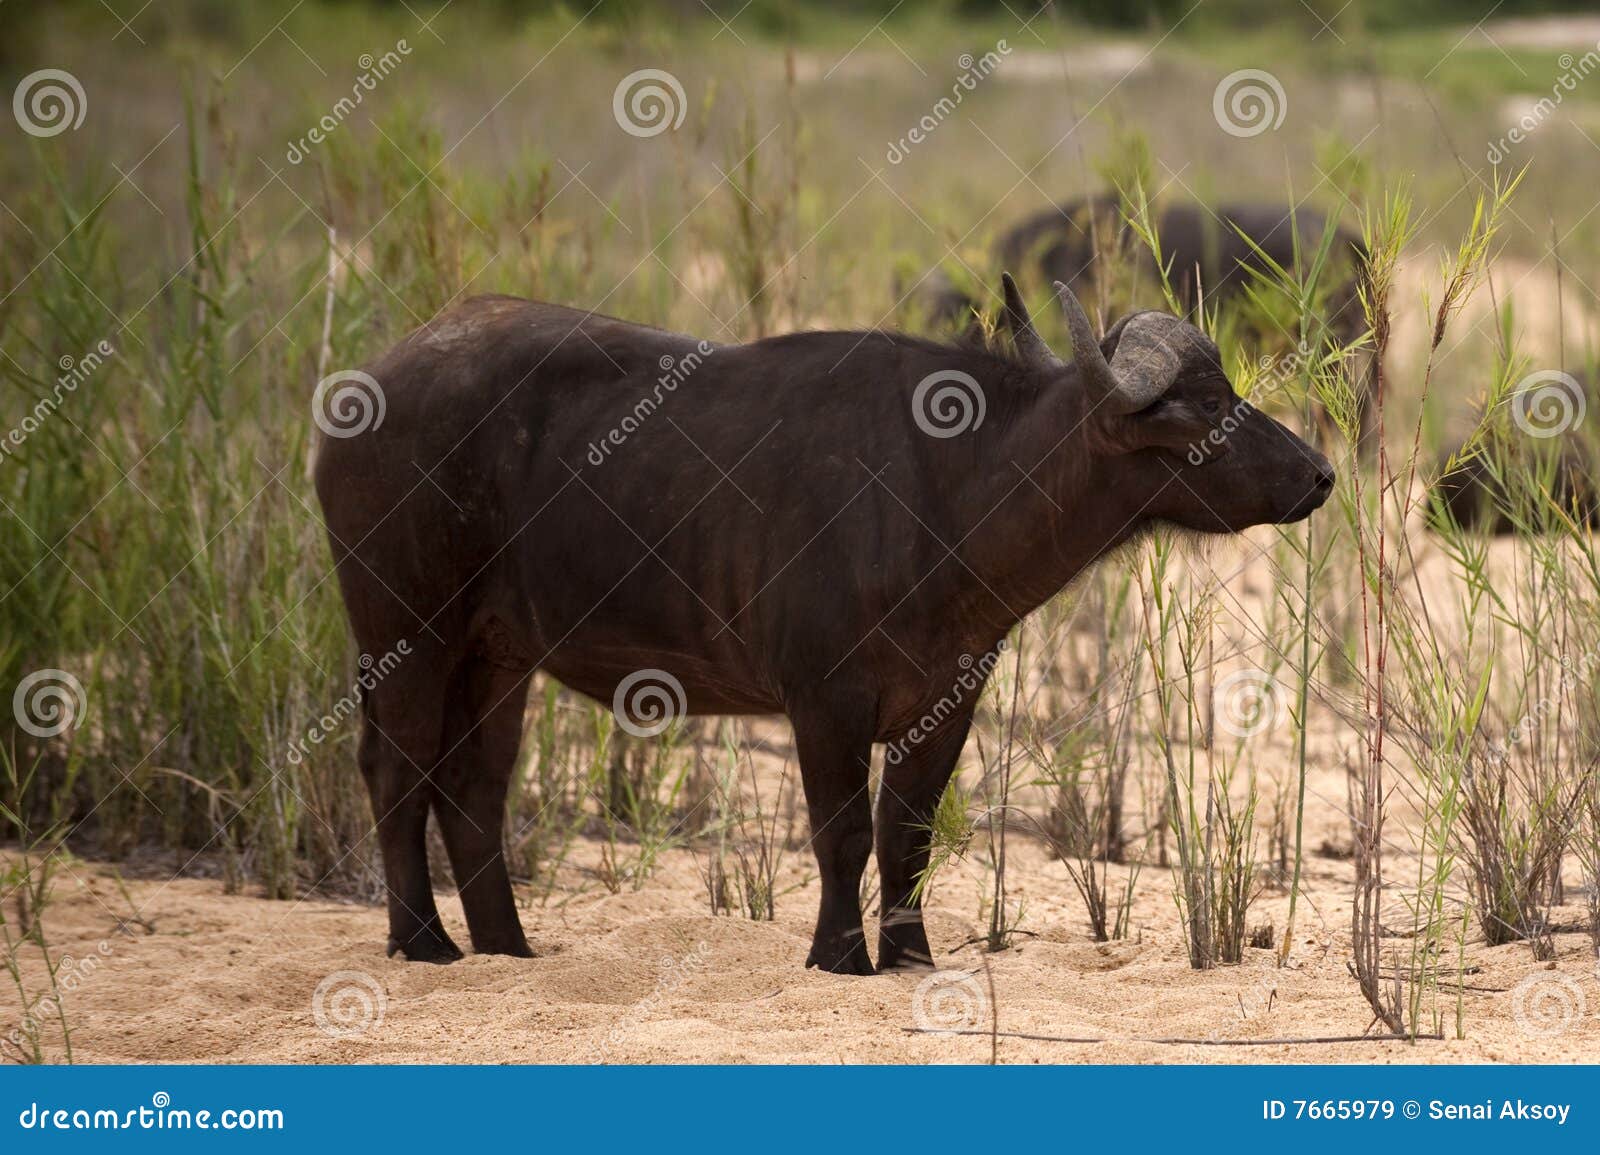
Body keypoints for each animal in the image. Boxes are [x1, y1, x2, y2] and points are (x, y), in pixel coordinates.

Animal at [313, 275, 1334, 974]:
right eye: (1211, 406)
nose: (1319, 474)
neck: (946, 488)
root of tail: (360, 393)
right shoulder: (824, 699)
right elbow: (842, 831)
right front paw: (839, 956)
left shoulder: (949, 698)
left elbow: (907, 832)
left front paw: (911, 957)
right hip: (406, 636)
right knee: (395, 774)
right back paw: (424, 940)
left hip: (498, 656)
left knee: (471, 790)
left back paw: (506, 947)